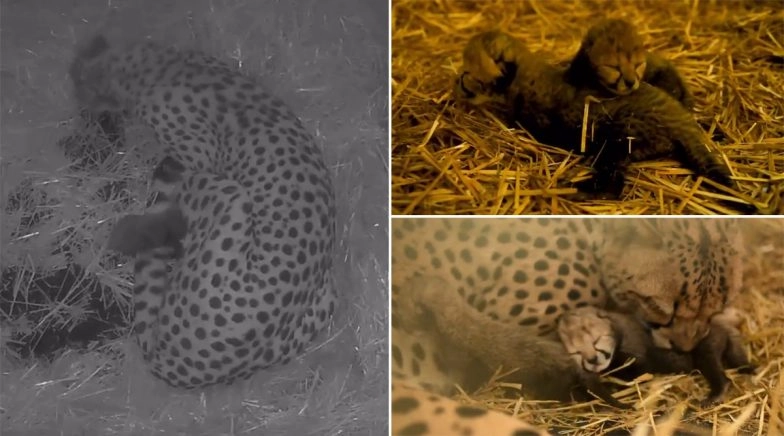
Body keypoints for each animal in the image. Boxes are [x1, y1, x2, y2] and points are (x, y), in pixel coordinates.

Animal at [70, 35, 337, 389]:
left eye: (78, 83)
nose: (78, 102)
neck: (156, 66)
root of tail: (169, 362)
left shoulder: (195, 160)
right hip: (324, 299)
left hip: (227, 193)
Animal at [453, 31, 741, 202]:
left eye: (469, 72)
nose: (457, 83)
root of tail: (681, 121)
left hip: (616, 141)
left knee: (613, 186)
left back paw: (574, 190)